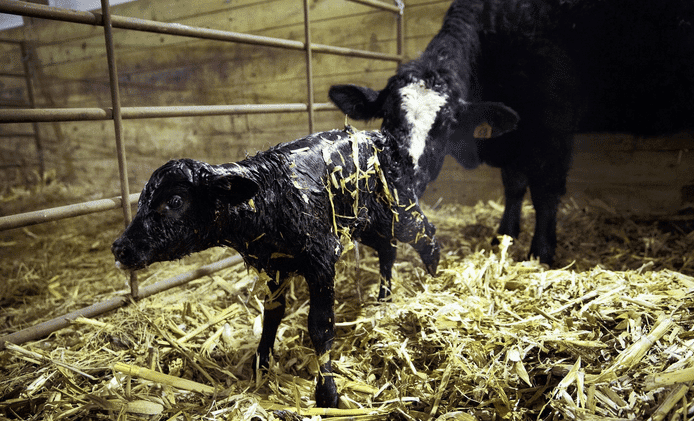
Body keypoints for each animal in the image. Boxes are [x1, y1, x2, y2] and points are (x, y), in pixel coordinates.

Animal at [111, 127, 440, 407]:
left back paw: (433, 278)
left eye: (176, 200)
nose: (119, 248)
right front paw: (261, 364)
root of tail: (378, 134)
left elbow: (320, 326)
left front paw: (327, 393)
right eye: (141, 201)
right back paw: (385, 297)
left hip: (398, 207)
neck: (270, 200)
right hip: (367, 222)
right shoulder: (276, 265)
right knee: (388, 248)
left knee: (425, 233)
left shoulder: (321, 258)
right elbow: (272, 315)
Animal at [329, 0, 694, 265]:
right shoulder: (513, 133)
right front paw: (504, 235)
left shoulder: (554, 122)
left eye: (444, 125)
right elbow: (514, 184)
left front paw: (541, 252)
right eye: (387, 118)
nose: (400, 180)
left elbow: (545, 189)